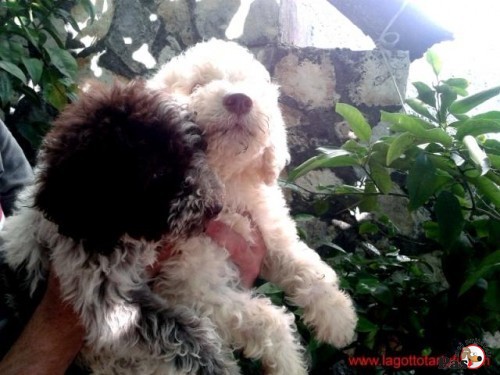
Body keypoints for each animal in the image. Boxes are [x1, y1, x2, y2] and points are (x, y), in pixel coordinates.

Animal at [147, 39, 356, 374]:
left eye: (251, 87)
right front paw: (289, 364)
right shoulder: (192, 289)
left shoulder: (267, 235)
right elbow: (269, 321)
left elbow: (307, 266)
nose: (240, 100)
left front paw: (338, 317)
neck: (226, 181)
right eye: (197, 86)